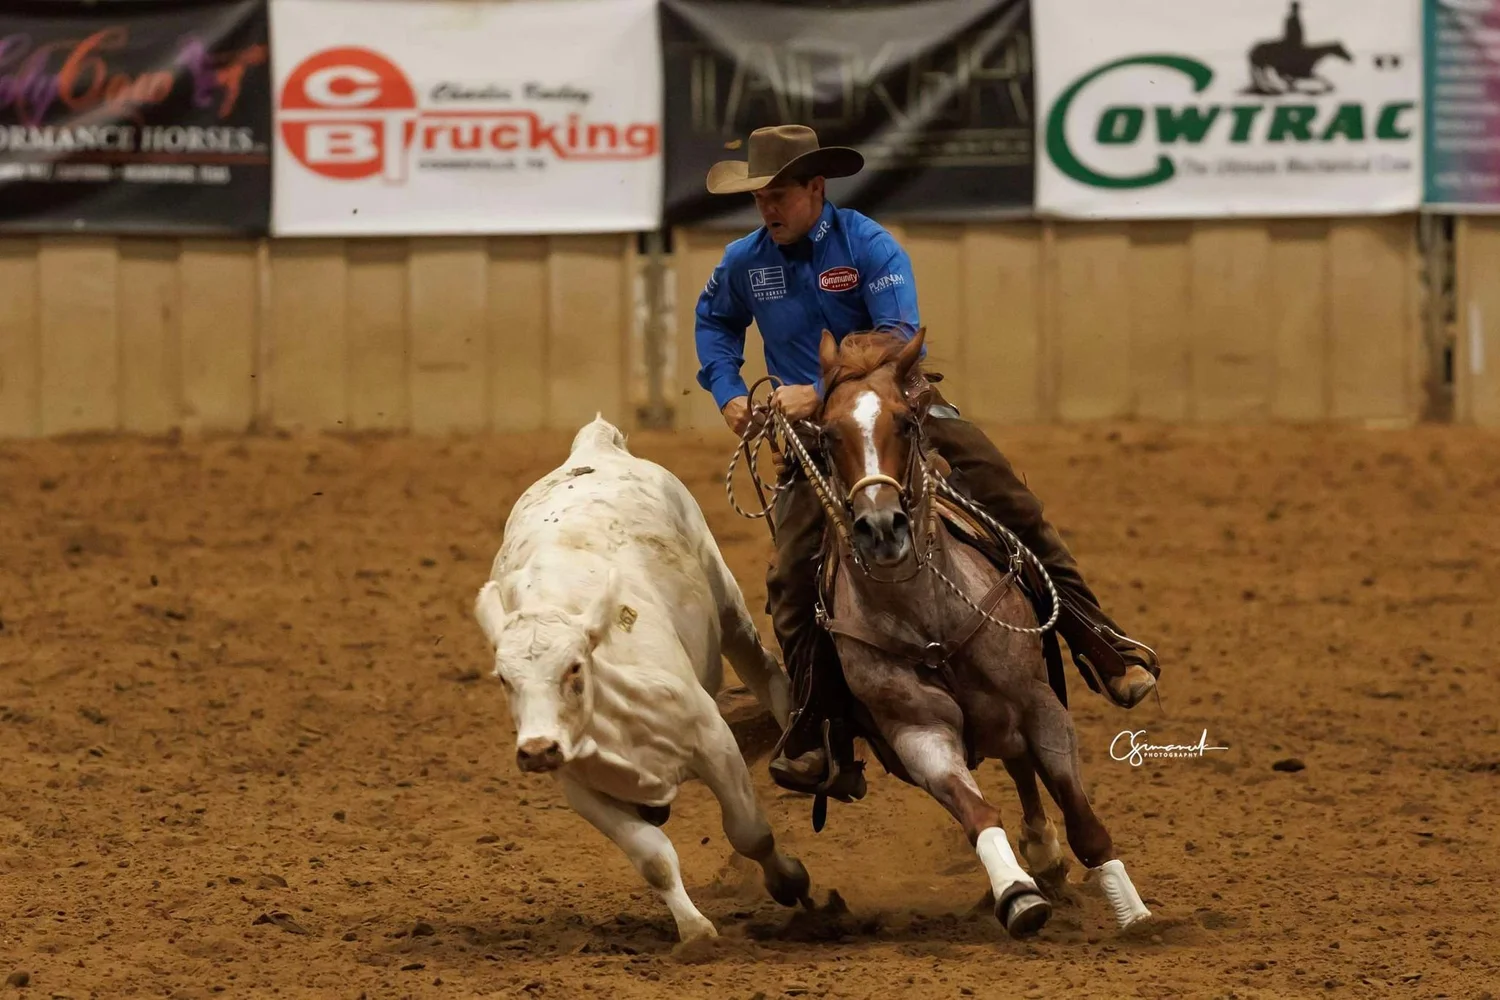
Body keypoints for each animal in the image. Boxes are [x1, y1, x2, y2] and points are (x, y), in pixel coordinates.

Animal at [777, 326, 1154, 939]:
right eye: (828, 437)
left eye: (905, 423)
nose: (880, 528)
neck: (929, 618)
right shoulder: (918, 732)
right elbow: (977, 812)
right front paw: (1019, 896)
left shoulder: (1040, 703)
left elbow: (1083, 818)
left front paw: (1134, 913)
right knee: (1013, 765)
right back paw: (1039, 860)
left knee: (1024, 762)